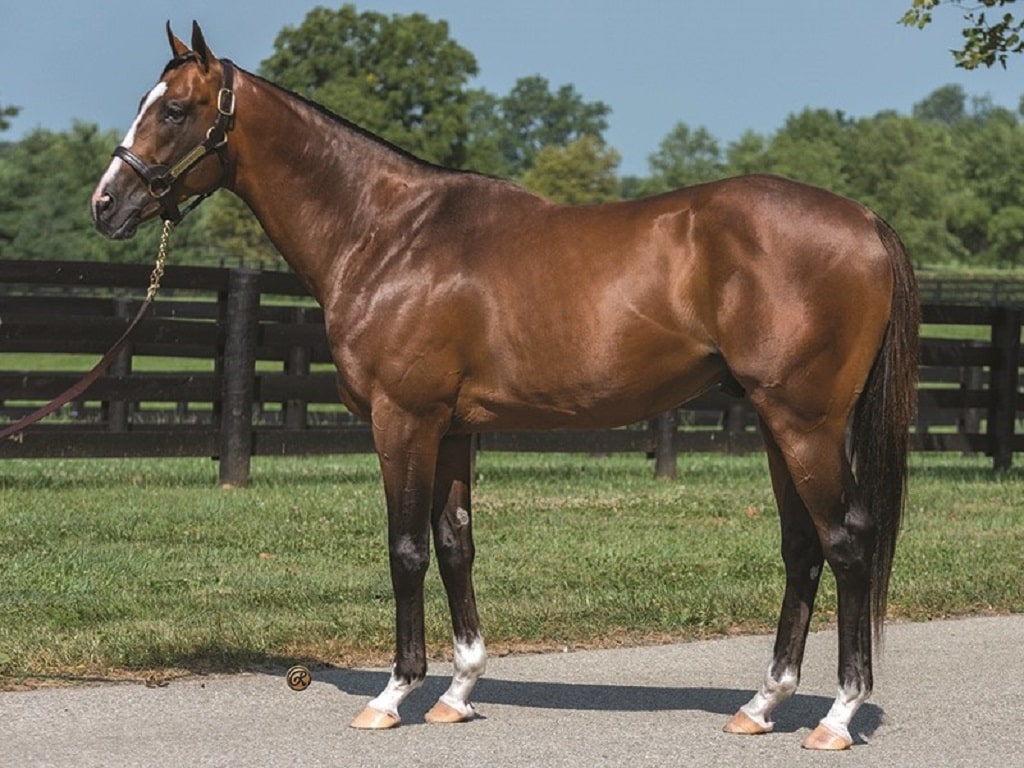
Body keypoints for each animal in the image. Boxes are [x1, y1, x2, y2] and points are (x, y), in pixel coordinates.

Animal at [91, 23, 919, 751]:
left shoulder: (403, 419)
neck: (388, 233)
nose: (106, 204)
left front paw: (393, 695)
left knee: (847, 542)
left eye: (174, 110)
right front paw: (457, 693)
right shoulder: (455, 427)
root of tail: (865, 220)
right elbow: (456, 544)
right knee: (801, 547)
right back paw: (760, 705)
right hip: (781, 423)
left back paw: (837, 717)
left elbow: (406, 550)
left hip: (806, 422)